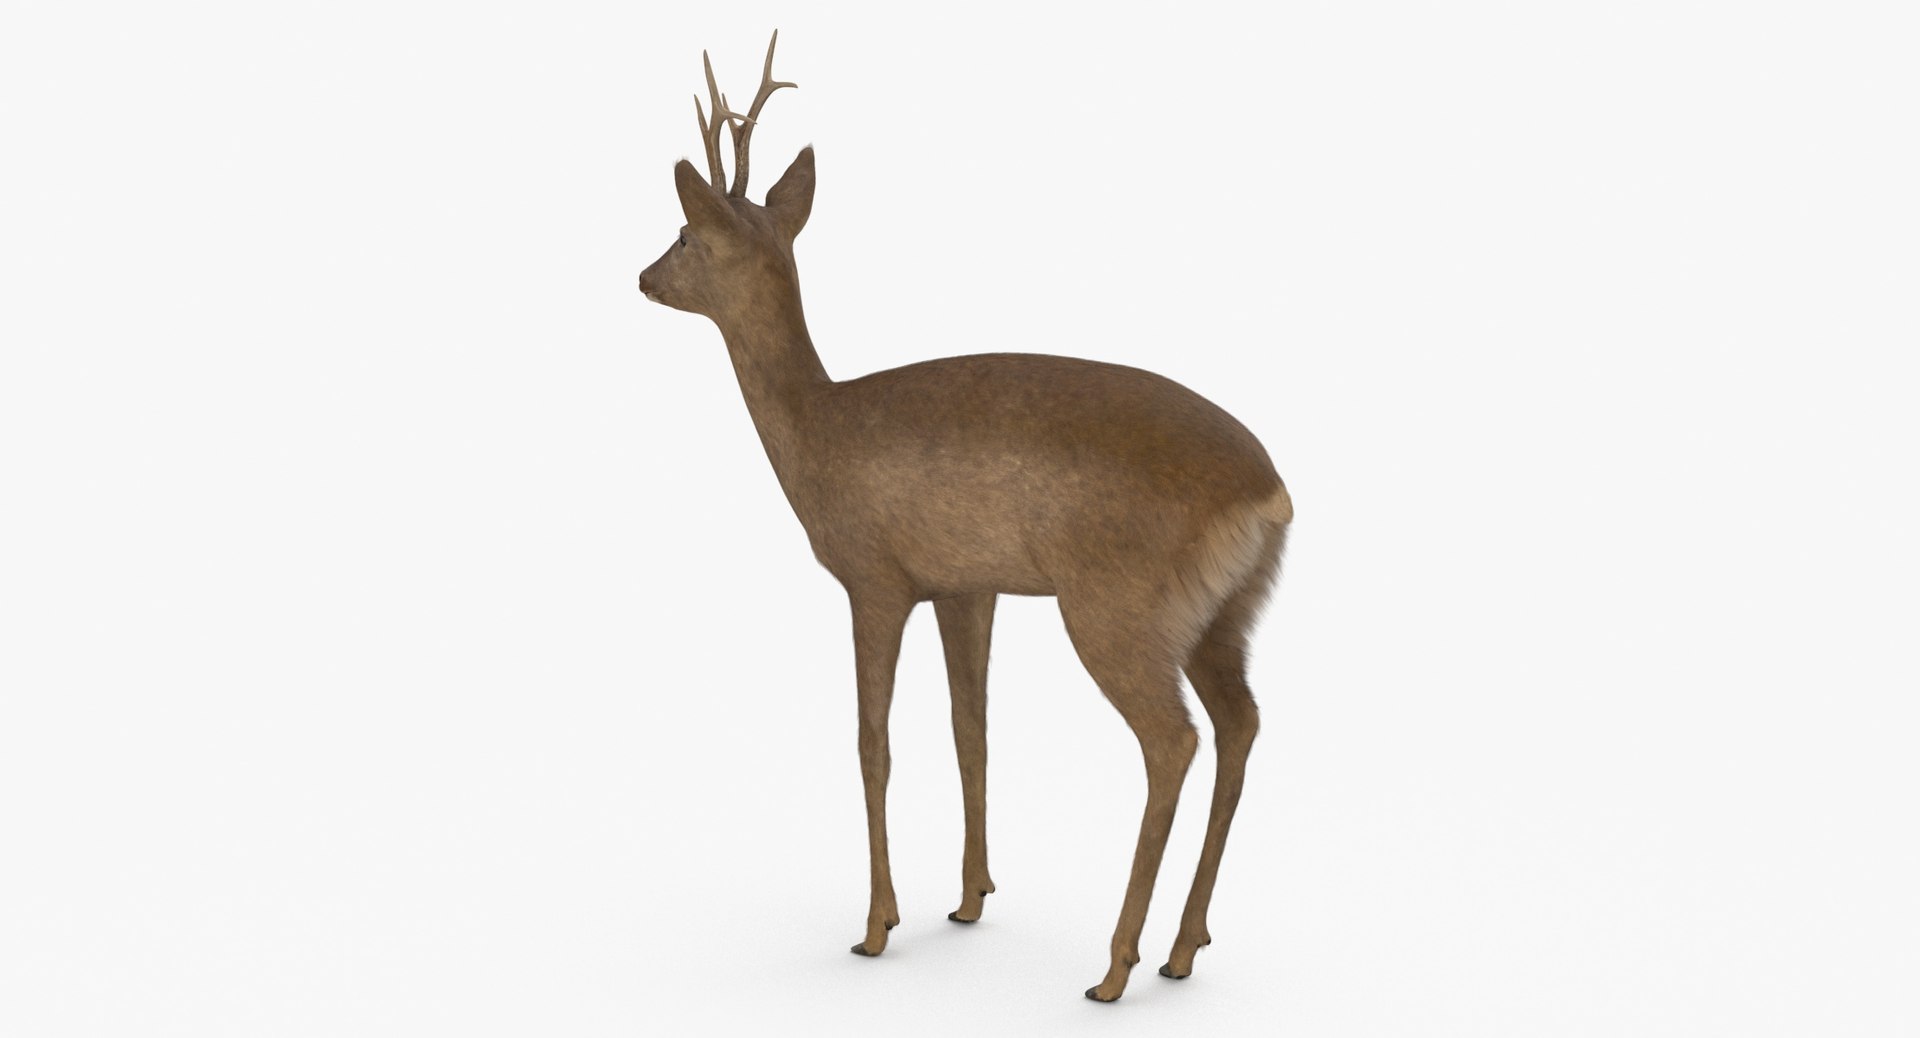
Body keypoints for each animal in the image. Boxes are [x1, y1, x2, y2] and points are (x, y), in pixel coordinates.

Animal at [636, 32, 1292, 1002]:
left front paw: (877, 926)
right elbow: (970, 729)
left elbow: (873, 741)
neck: (819, 429)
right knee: (1241, 724)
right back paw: (1183, 948)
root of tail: (1270, 493)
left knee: (1173, 740)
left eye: (684, 234)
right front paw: (970, 896)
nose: (641, 275)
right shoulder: (965, 584)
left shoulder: (873, 578)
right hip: (1224, 617)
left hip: (1117, 607)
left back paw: (1115, 966)